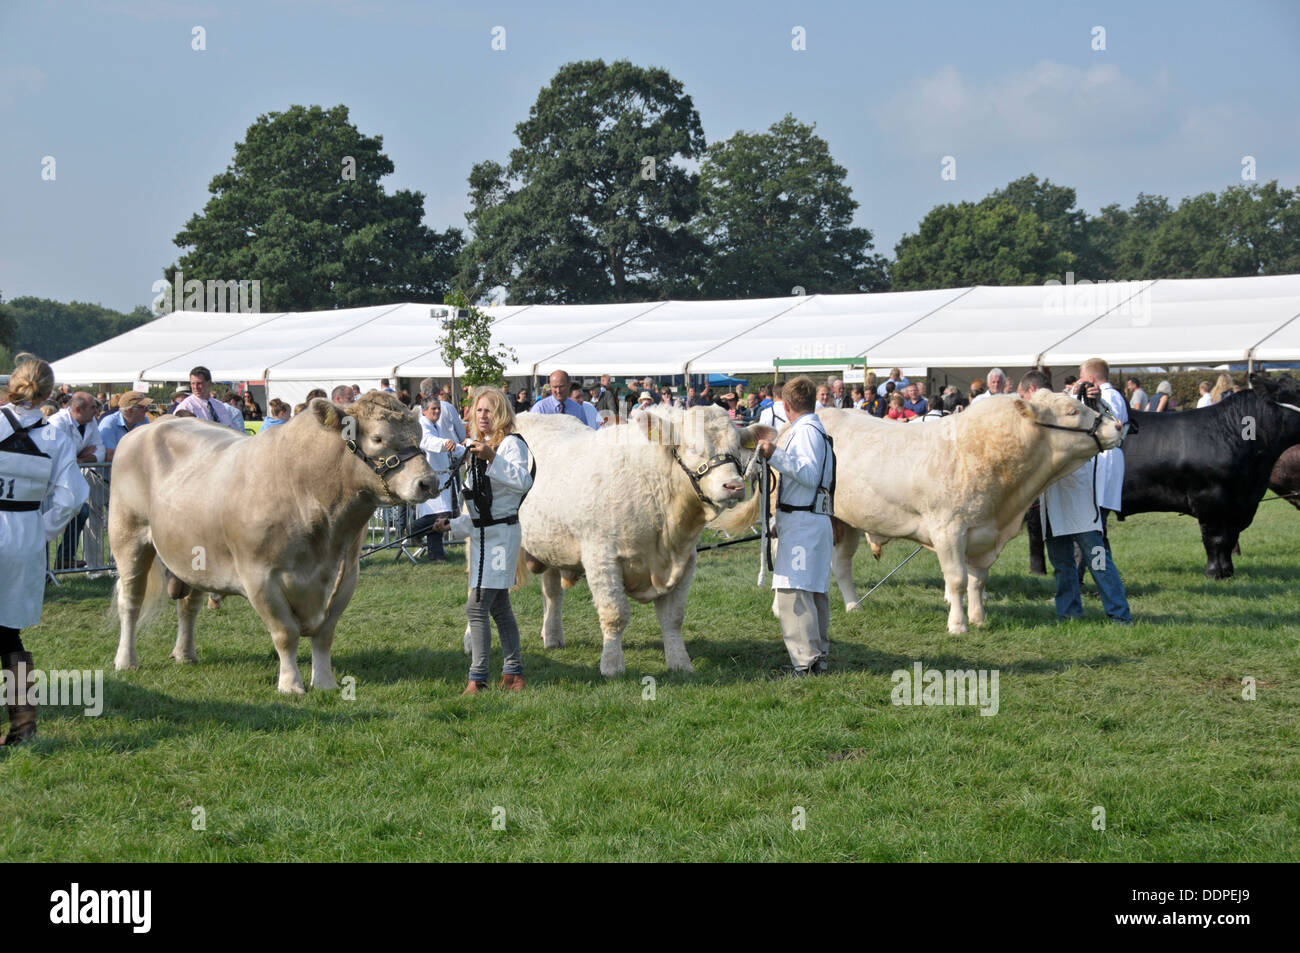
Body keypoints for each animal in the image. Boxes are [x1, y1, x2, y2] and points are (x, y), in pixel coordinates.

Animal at [109, 393, 437, 693]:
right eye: (378, 438)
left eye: (419, 435)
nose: (429, 482)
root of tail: (156, 423)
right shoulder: (260, 577)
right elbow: (285, 633)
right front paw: (291, 685)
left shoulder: (347, 575)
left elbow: (325, 634)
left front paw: (325, 683)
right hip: (128, 537)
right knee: (131, 601)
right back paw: (126, 660)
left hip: (194, 555)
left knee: (189, 605)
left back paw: (185, 654)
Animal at [514, 405, 771, 677]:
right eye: (693, 447)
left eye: (737, 448)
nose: (734, 486)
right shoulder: (602, 558)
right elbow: (615, 614)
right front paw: (612, 665)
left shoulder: (686, 560)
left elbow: (673, 618)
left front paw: (680, 663)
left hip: (551, 545)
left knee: (552, 592)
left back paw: (552, 637)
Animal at [806, 393, 1123, 633]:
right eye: (1072, 411)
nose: (1118, 425)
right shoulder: (948, 529)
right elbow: (957, 579)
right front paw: (958, 625)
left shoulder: (985, 534)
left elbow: (977, 580)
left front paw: (979, 618)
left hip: (848, 521)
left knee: (841, 565)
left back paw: (854, 606)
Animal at [1120, 372, 1300, 578]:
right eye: (1298, 390)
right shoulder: (1209, 498)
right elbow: (1216, 539)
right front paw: (1214, 573)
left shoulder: (1240, 504)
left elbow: (1230, 538)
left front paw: (1228, 572)